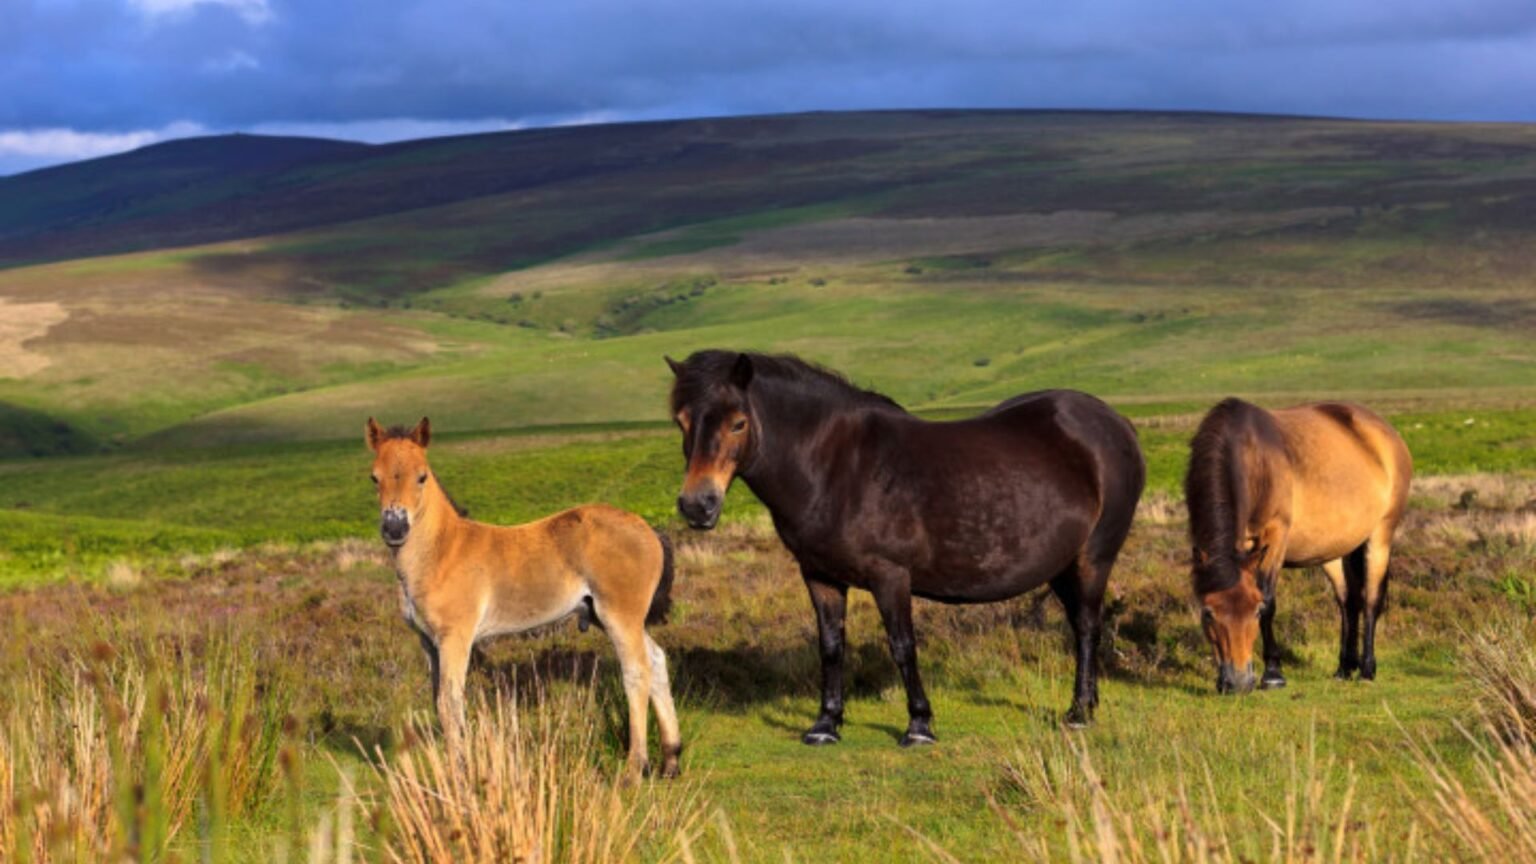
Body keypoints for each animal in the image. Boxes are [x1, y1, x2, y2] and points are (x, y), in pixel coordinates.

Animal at [365, 417, 682, 779]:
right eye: (374, 477)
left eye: (422, 476)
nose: (394, 528)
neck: (442, 551)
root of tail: (650, 530)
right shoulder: (428, 642)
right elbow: (438, 703)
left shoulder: (455, 637)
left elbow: (450, 703)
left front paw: (460, 772)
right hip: (611, 617)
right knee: (657, 661)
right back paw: (671, 760)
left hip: (620, 614)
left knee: (636, 673)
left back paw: (634, 769)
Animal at [665, 351, 1145, 743]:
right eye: (682, 422)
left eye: (737, 422)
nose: (697, 505)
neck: (836, 467)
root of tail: (1115, 423)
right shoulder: (819, 576)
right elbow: (831, 645)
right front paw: (826, 724)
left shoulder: (889, 575)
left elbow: (902, 645)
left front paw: (919, 725)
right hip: (1061, 564)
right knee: (1081, 625)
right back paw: (1087, 704)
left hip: (1093, 557)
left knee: (1087, 627)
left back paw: (1079, 712)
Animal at [1184, 399, 1412, 694]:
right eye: (1208, 613)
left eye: (1255, 611)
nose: (1238, 682)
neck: (1251, 458)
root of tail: (1387, 433)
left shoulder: (1275, 537)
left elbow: (1269, 599)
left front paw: (1273, 674)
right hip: (1334, 551)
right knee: (1348, 601)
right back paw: (1344, 668)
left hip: (1380, 536)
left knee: (1371, 600)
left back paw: (1366, 669)